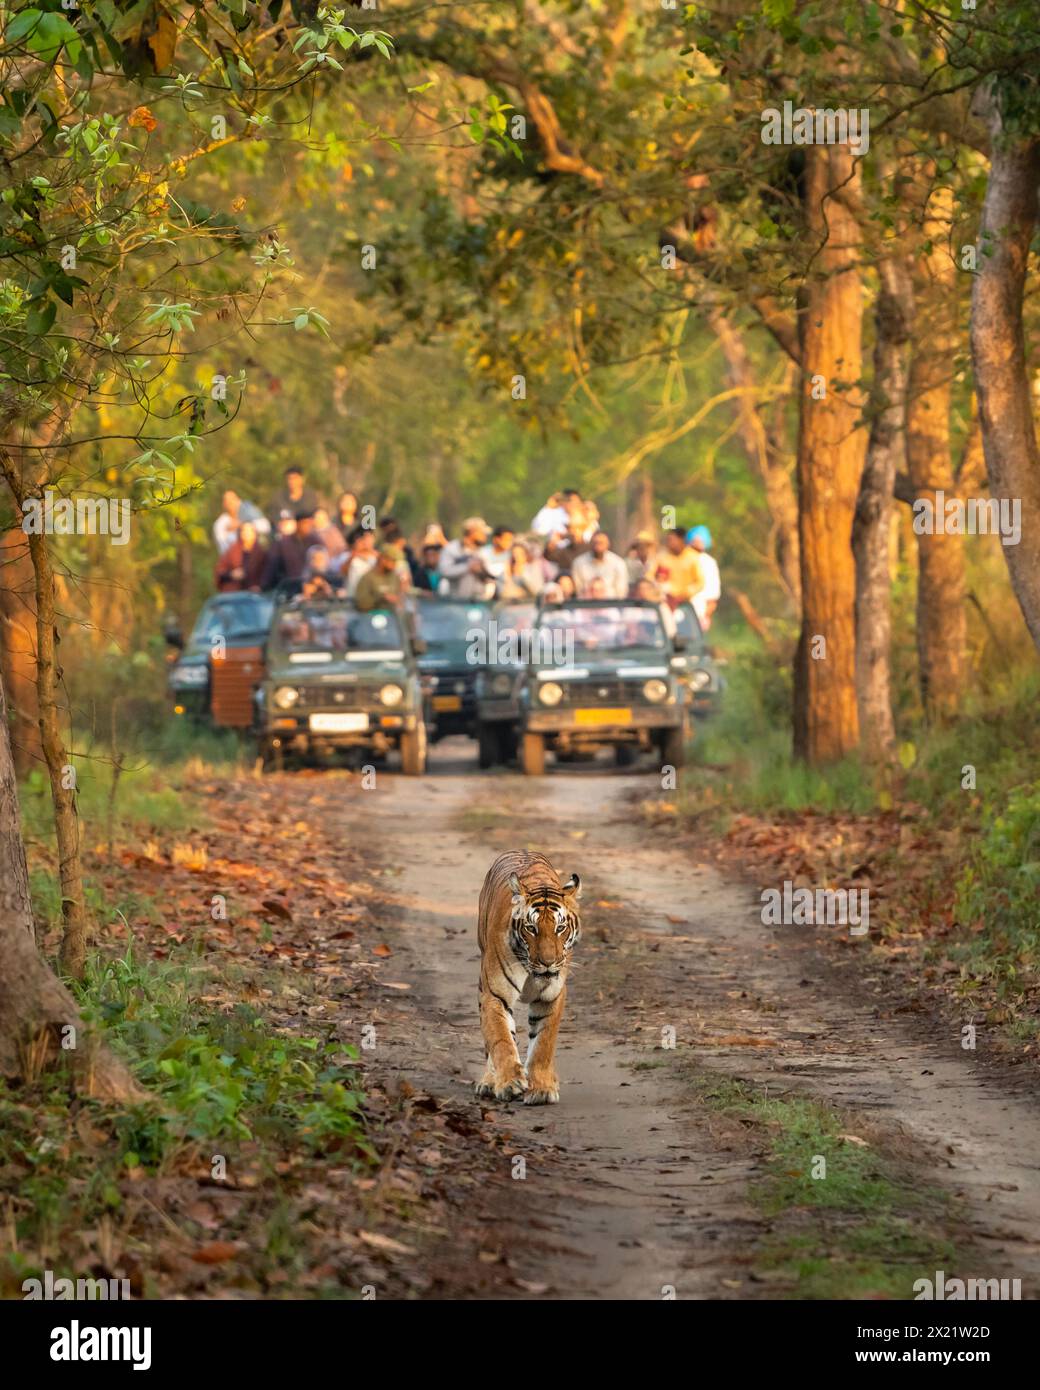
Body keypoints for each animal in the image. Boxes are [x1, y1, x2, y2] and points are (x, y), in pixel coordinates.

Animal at [475, 850, 582, 1106]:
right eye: (531, 929)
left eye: (560, 928)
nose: (548, 962)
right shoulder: (495, 995)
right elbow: (501, 1040)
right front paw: (510, 1083)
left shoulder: (551, 996)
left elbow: (543, 1044)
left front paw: (542, 1089)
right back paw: (490, 1081)